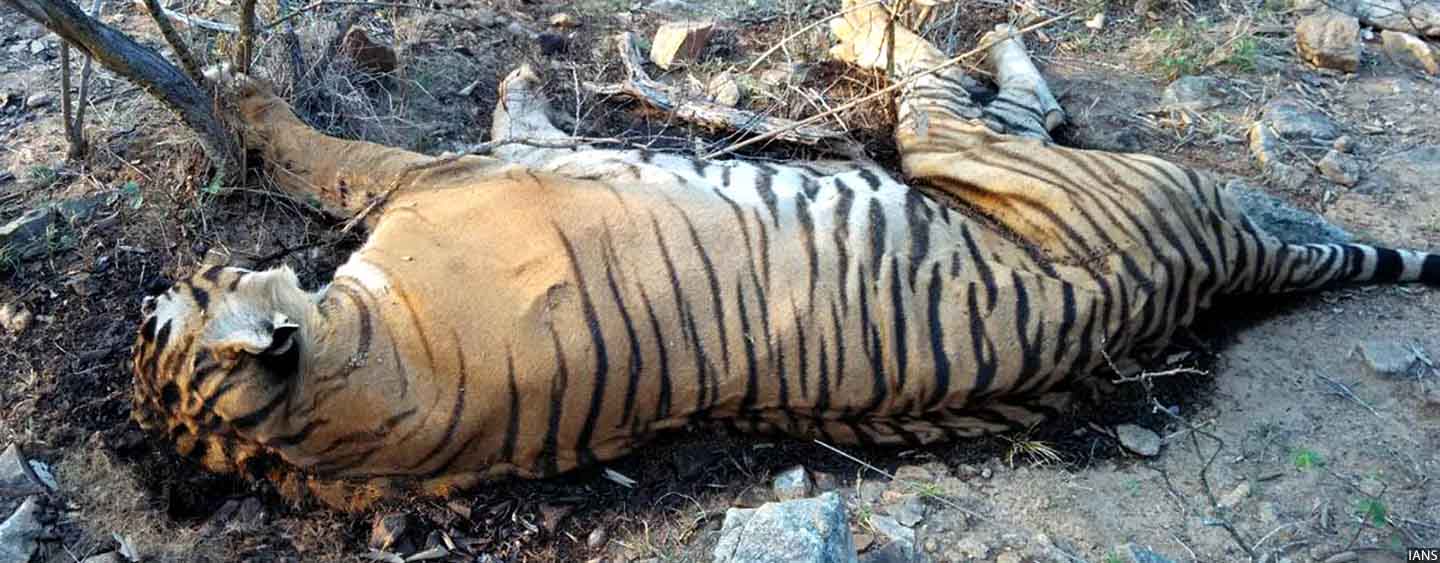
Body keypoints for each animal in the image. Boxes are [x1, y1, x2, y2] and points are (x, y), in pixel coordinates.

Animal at [130, 2, 1439, 509]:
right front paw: (247, 100)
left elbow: (373, 143)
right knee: (971, 84)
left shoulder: (453, 173)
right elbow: (336, 150)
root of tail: (1206, 268)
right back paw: (915, 26)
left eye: (168, 307)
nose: (169, 277)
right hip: (978, 155)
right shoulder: (441, 174)